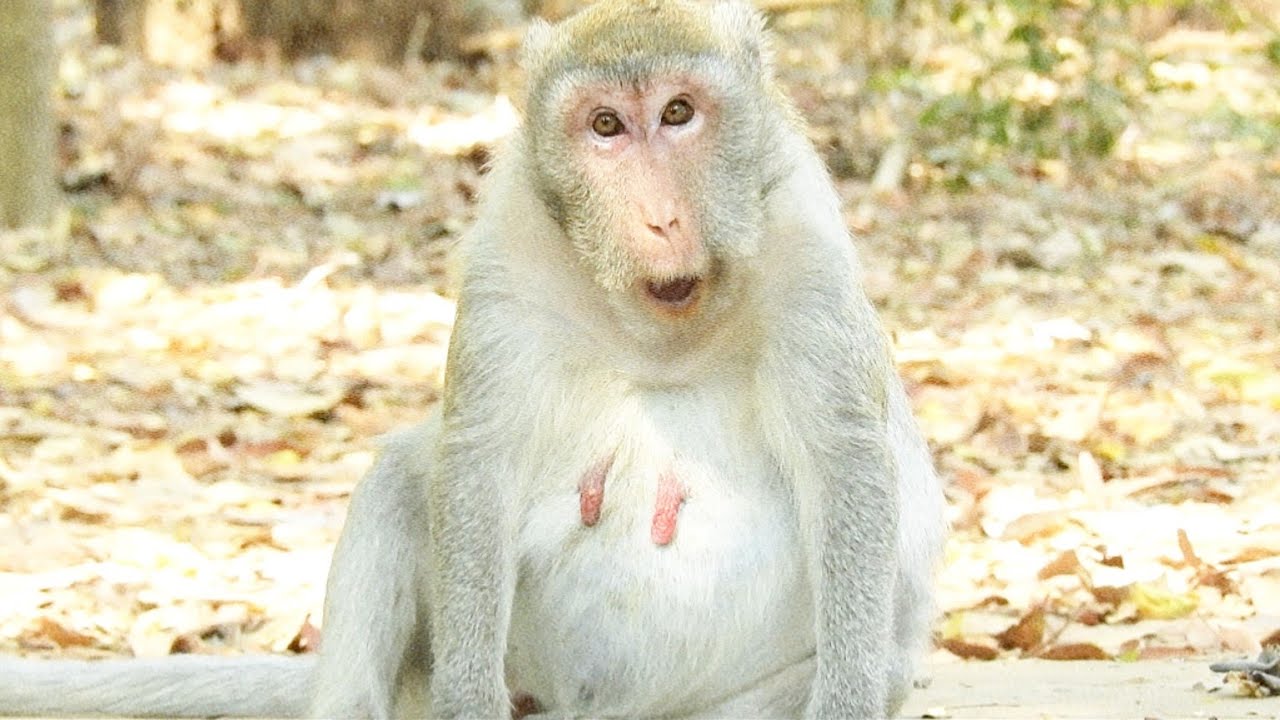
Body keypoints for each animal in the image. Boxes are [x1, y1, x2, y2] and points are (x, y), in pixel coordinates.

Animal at [0, 1, 945, 717]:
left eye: (679, 113)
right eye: (606, 125)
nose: (660, 219)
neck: (661, 331)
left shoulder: (806, 256)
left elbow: (847, 466)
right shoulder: (508, 254)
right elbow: (477, 464)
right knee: (400, 480)